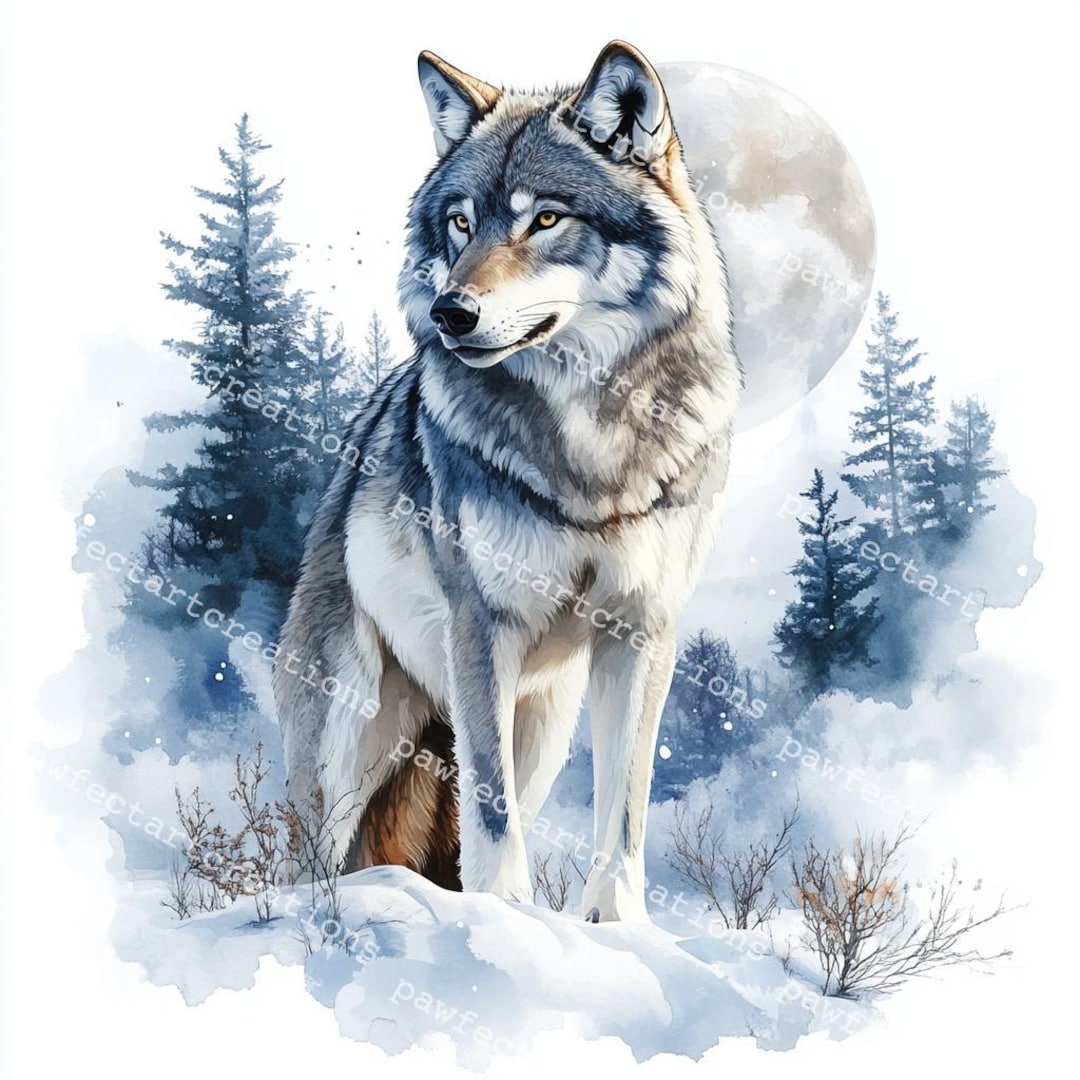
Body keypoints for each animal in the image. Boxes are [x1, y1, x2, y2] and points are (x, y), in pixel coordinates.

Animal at [273, 40, 741, 921]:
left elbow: (623, 810)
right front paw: (504, 914)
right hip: (348, 735)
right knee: (312, 862)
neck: (591, 448)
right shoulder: (481, 627)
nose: (452, 312)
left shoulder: (641, 633)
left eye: (545, 219)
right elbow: (492, 812)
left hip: (544, 726)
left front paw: (616, 924)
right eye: (461, 222)